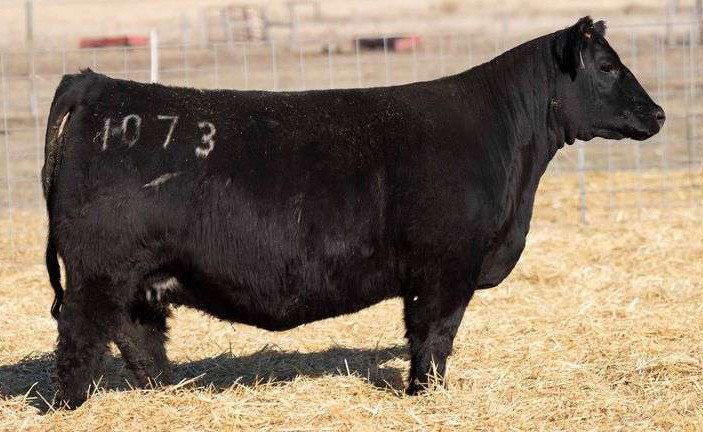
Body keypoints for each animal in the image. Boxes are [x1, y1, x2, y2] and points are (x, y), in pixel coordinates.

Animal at [42, 16, 664, 408]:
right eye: (606, 67)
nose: (657, 114)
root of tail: (97, 84)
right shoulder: (446, 266)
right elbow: (435, 336)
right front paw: (425, 394)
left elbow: (424, 335)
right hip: (97, 271)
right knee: (78, 340)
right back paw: (70, 407)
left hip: (136, 276)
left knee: (137, 337)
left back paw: (165, 393)